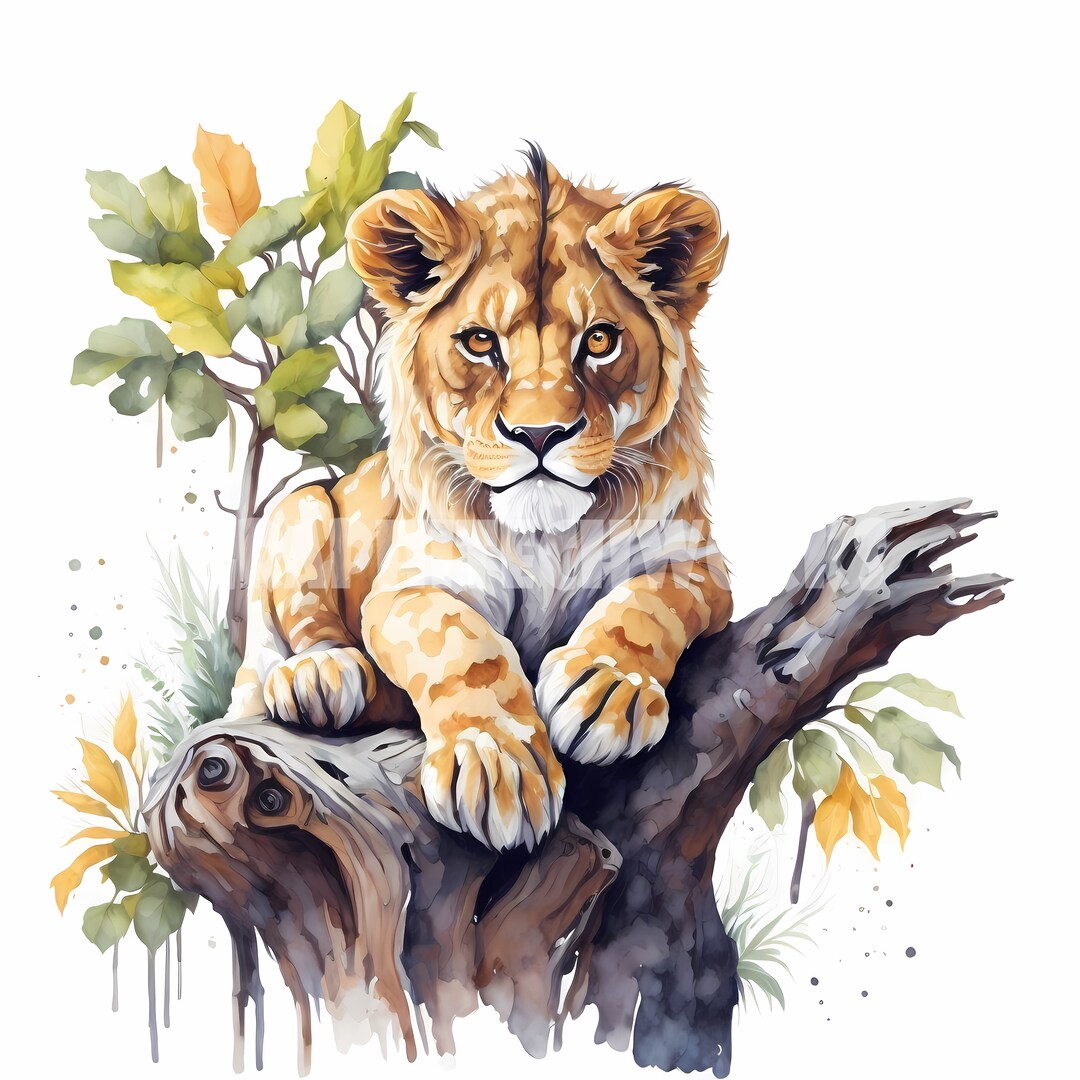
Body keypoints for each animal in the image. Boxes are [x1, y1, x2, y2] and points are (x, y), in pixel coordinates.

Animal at [227, 148, 734, 851]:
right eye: (479, 342)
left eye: (599, 341)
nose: (540, 434)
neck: (551, 537)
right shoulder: (414, 585)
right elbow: (461, 644)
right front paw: (497, 762)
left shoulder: (696, 564)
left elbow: (646, 604)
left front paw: (605, 686)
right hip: (299, 509)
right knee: (302, 627)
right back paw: (320, 675)